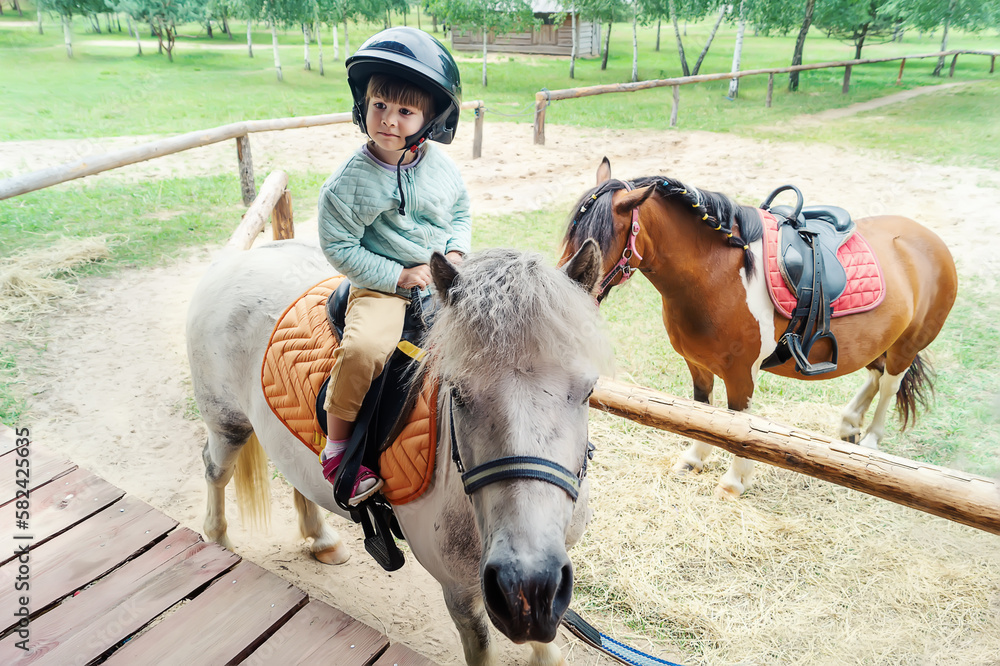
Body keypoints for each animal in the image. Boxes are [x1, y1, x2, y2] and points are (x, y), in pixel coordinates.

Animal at [186, 239, 610, 665]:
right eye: (456, 391)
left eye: (588, 390)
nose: (526, 586)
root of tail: (240, 257)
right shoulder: (460, 595)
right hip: (226, 422)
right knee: (215, 471)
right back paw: (220, 543)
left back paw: (322, 540)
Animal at [561, 159, 958, 499]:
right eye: (572, 231)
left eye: (600, 238)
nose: (570, 286)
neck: (716, 275)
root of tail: (931, 240)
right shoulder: (698, 364)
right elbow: (702, 412)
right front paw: (694, 459)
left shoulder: (741, 375)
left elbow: (737, 426)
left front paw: (734, 481)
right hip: (878, 340)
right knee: (876, 375)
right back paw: (849, 425)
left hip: (907, 343)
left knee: (890, 384)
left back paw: (872, 444)